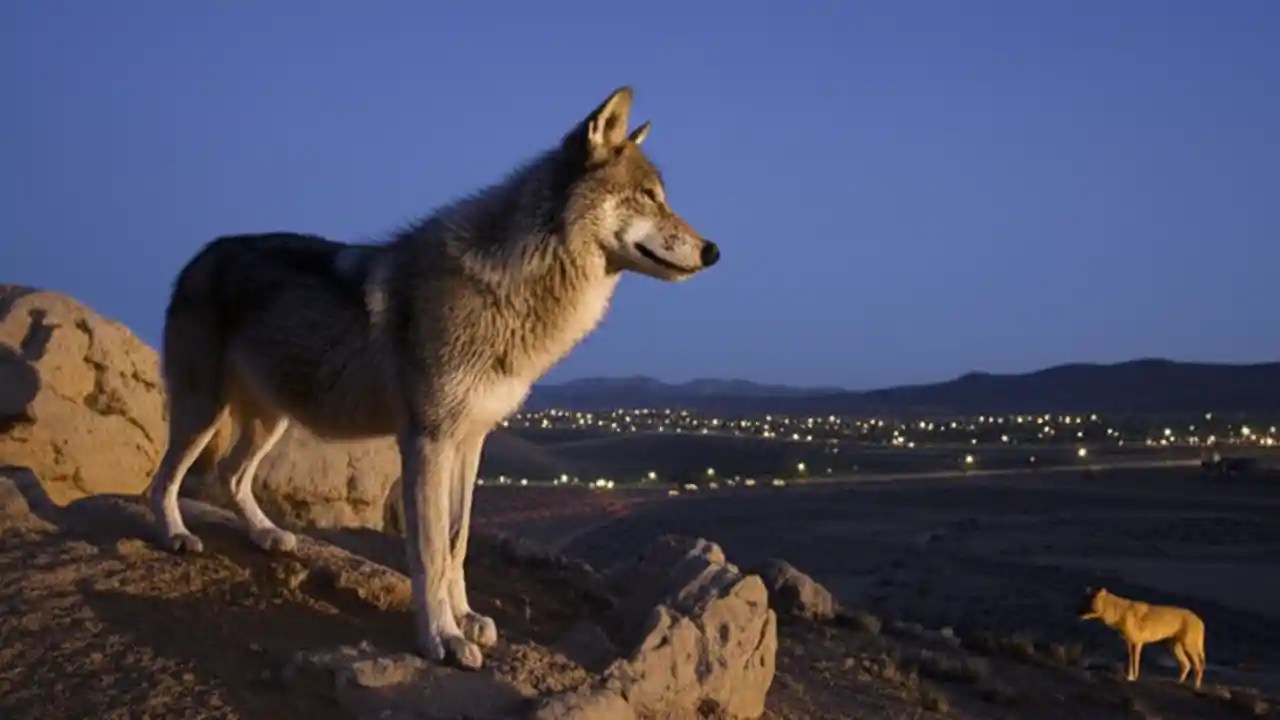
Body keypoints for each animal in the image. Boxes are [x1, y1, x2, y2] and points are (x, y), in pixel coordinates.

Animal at [145, 87, 719, 669]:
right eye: (648, 197)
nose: (713, 251)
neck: (509, 290)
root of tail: (199, 255)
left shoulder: (471, 441)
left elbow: (456, 544)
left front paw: (464, 618)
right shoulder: (428, 441)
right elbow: (430, 554)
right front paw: (440, 638)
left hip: (271, 419)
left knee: (230, 475)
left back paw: (265, 534)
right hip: (204, 410)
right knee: (165, 478)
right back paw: (175, 535)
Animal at [1078, 587, 1206, 688]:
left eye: (1087, 603)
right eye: (1082, 601)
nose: (1077, 612)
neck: (1117, 612)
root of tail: (1199, 620)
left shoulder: (1138, 642)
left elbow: (1136, 660)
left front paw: (1134, 678)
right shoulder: (1129, 642)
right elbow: (1130, 659)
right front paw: (1129, 677)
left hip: (1189, 645)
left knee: (1198, 664)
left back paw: (1196, 687)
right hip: (1173, 646)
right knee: (1186, 664)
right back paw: (1179, 683)